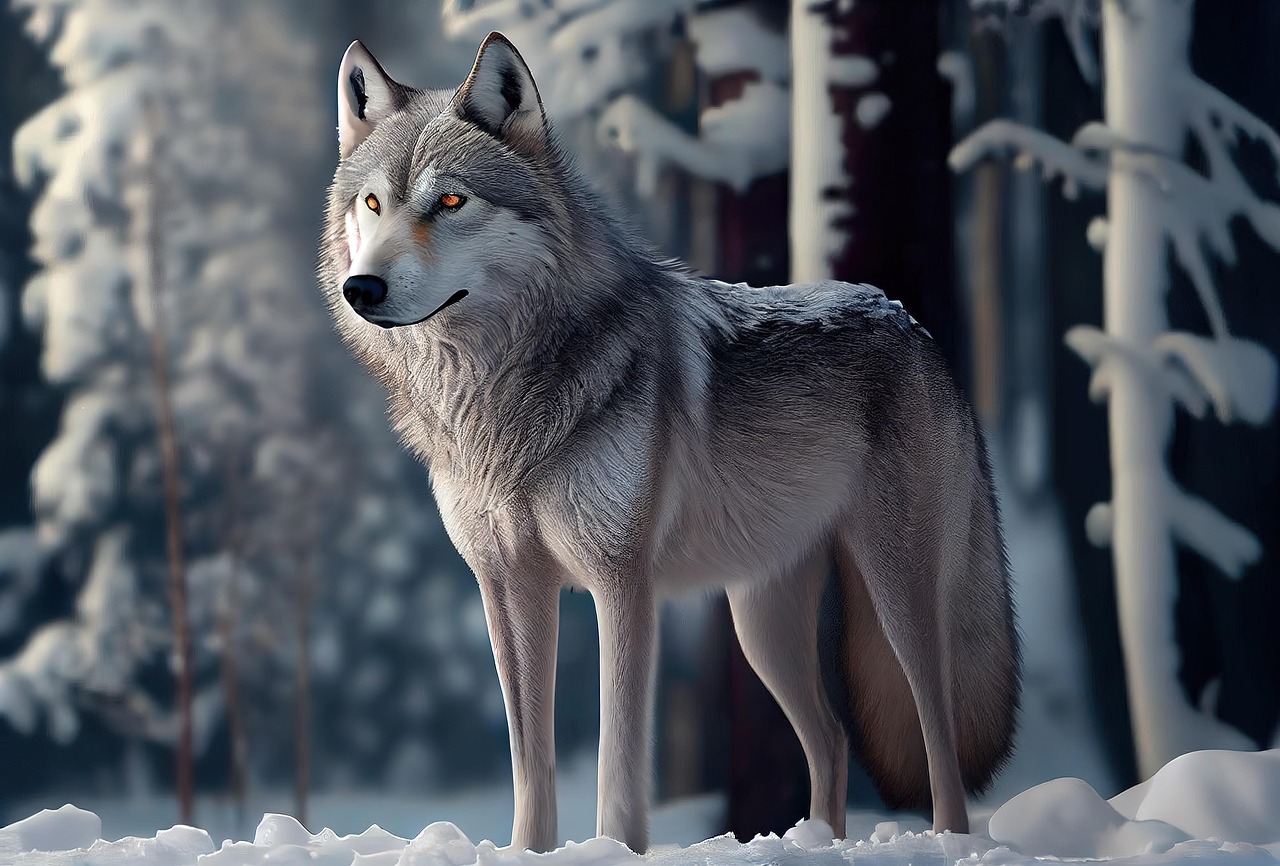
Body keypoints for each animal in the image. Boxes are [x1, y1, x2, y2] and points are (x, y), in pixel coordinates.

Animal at [320, 32, 1020, 854]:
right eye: (373, 203)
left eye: (451, 201)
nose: (361, 289)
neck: (497, 398)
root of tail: (913, 325)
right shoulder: (508, 585)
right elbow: (531, 762)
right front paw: (530, 853)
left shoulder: (623, 585)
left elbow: (620, 757)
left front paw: (616, 849)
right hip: (761, 627)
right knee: (835, 741)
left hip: (898, 599)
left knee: (938, 738)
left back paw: (951, 843)